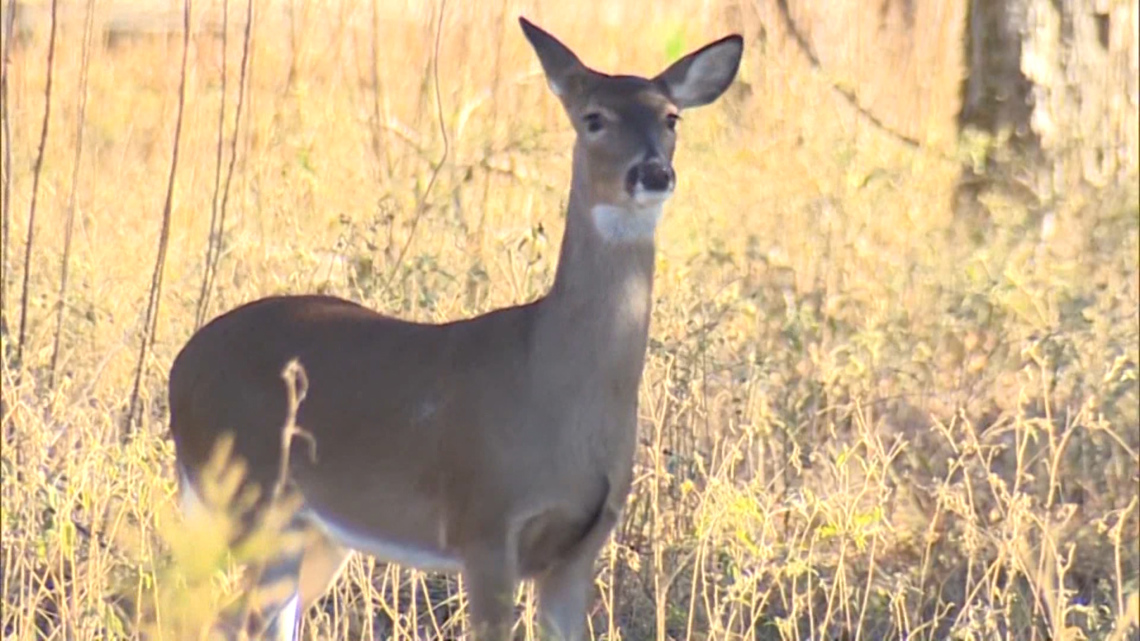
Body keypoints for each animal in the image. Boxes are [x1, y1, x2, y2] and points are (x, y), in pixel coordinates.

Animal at [168, 16, 742, 641]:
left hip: (313, 532)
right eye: (593, 117)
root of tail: (181, 366)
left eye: (671, 117)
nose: (653, 172)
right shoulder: (485, 524)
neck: (552, 378)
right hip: (249, 497)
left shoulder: (581, 546)